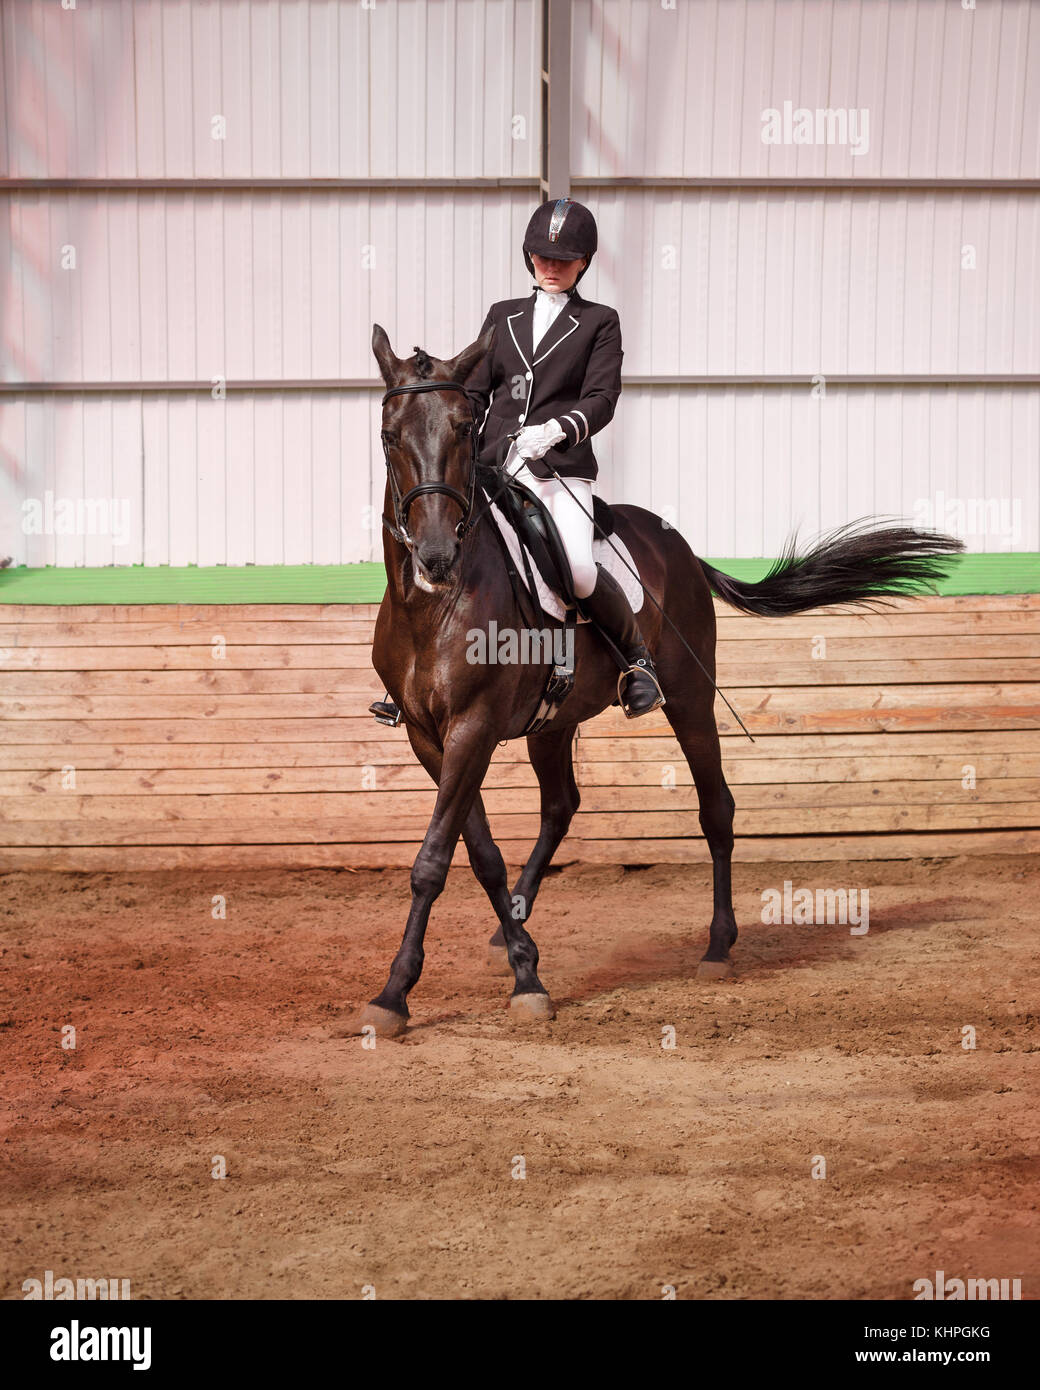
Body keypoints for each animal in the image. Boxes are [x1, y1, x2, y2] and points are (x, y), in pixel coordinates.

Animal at [352, 324, 963, 1037]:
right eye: (389, 435)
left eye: (462, 429)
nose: (435, 557)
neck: (433, 607)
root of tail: (681, 546)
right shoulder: (430, 738)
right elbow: (478, 854)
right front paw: (507, 967)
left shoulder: (471, 729)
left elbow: (432, 861)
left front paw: (411, 992)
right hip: (552, 722)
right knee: (561, 806)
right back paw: (518, 924)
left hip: (690, 697)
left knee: (716, 807)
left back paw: (719, 947)